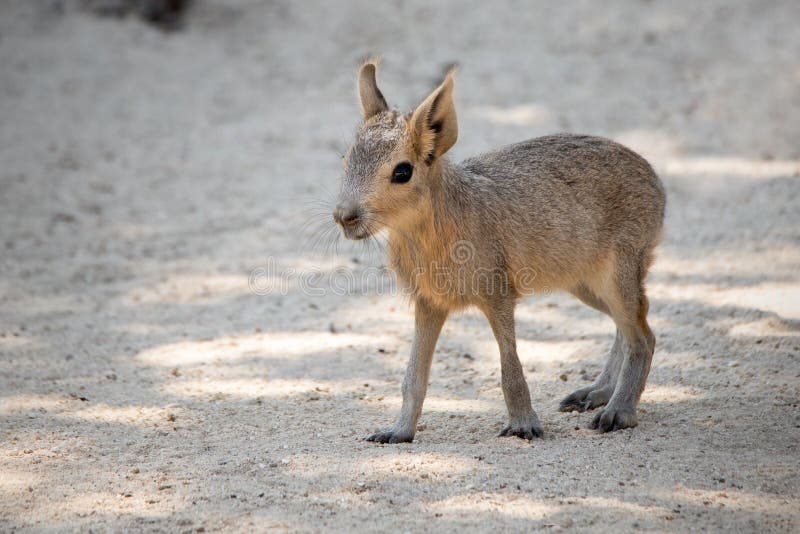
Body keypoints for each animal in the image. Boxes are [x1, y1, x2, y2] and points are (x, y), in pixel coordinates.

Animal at [333, 61, 666, 443]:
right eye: (345, 160)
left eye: (403, 171)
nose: (344, 217)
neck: (435, 232)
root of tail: (655, 180)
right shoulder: (429, 302)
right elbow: (413, 376)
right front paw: (398, 432)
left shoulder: (499, 295)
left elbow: (511, 368)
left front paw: (524, 425)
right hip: (586, 285)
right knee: (629, 325)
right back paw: (594, 394)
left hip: (616, 275)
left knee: (643, 337)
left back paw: (618, 412)